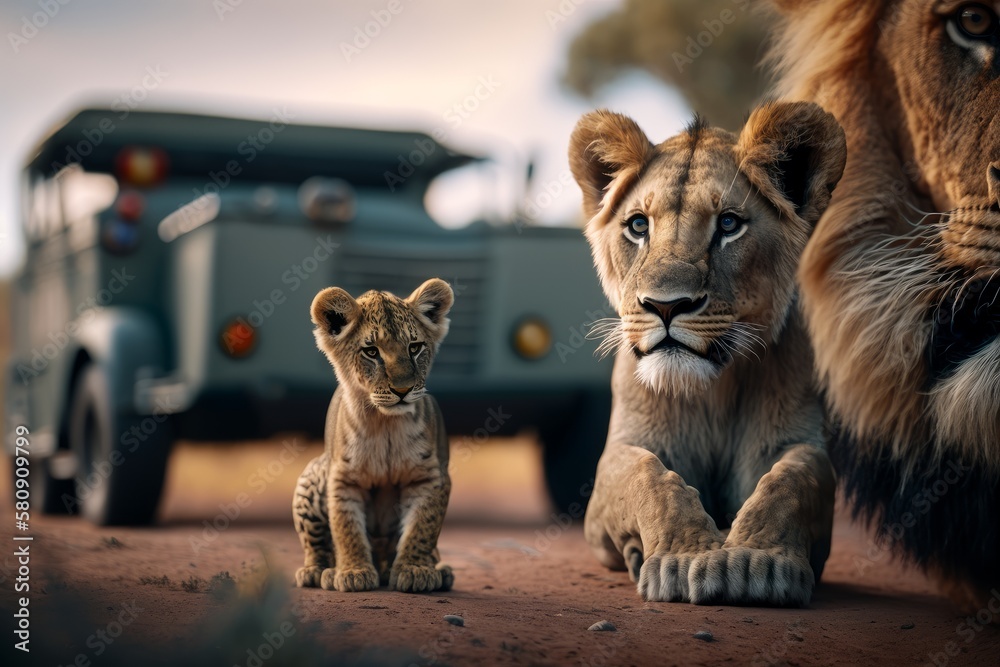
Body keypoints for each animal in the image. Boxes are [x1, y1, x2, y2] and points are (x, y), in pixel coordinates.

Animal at [292, 278, 455, 593]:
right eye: (371, 352)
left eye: (415, 347)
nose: (403, 390)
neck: (384, 425)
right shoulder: (342, 479)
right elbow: (346, 530)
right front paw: (353, 572)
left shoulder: (431, 477)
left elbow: (422, 527)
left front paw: (415, 570)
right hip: (311, 475)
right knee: (316, 546)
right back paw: (319, 571)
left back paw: (437, 571)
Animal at [569, 101, 847, 605]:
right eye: (638, 225)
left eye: (729, 225)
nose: (665, 305)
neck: (711, 390)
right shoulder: (615, 464)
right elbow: (647, 476)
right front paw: (686, 557)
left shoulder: (794, 442)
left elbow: (792, 481)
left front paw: (759, 561)